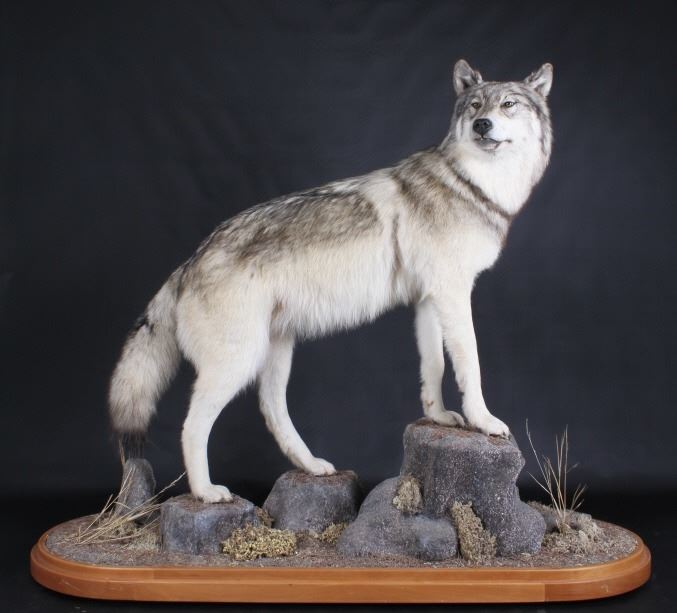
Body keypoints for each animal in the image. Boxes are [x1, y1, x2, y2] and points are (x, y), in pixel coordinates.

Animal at [109, 60, 553, 503]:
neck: (471, 184)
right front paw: (484, 420)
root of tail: (190, 261)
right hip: (237, 363)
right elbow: (469, 364)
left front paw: (439, 416)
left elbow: (434, 365)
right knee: (193, 425)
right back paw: (206, 492)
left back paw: (312, 467)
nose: (482, 125)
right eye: (476, 105)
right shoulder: (453, 294)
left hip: (275, 354)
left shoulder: (429, 300)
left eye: (508, 104)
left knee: (272, 413)